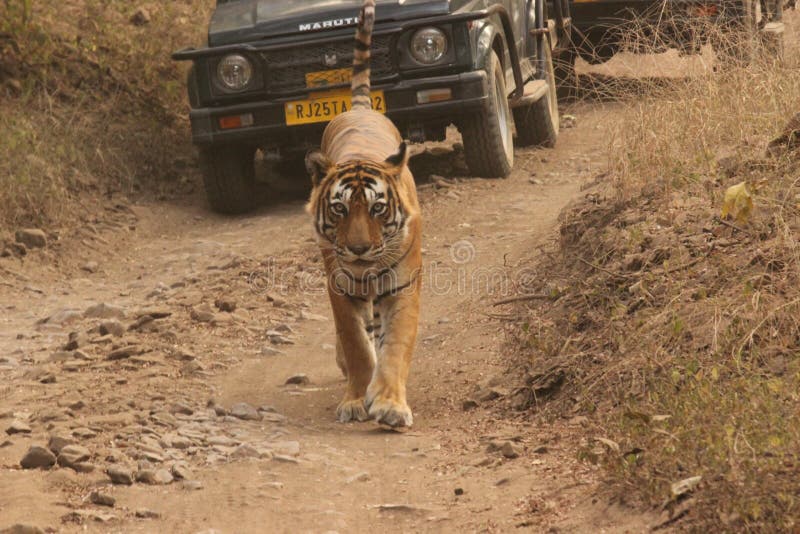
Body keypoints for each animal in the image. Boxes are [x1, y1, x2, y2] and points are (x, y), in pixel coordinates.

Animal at [305, 0, 422, 428]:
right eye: (339, 210)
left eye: (377, 208)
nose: (357, 250)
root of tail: (359, 109)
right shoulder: (340, 287)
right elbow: (356, 343)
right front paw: (357, 399)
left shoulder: (403, 284)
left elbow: (396, 344)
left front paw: (388, 403)